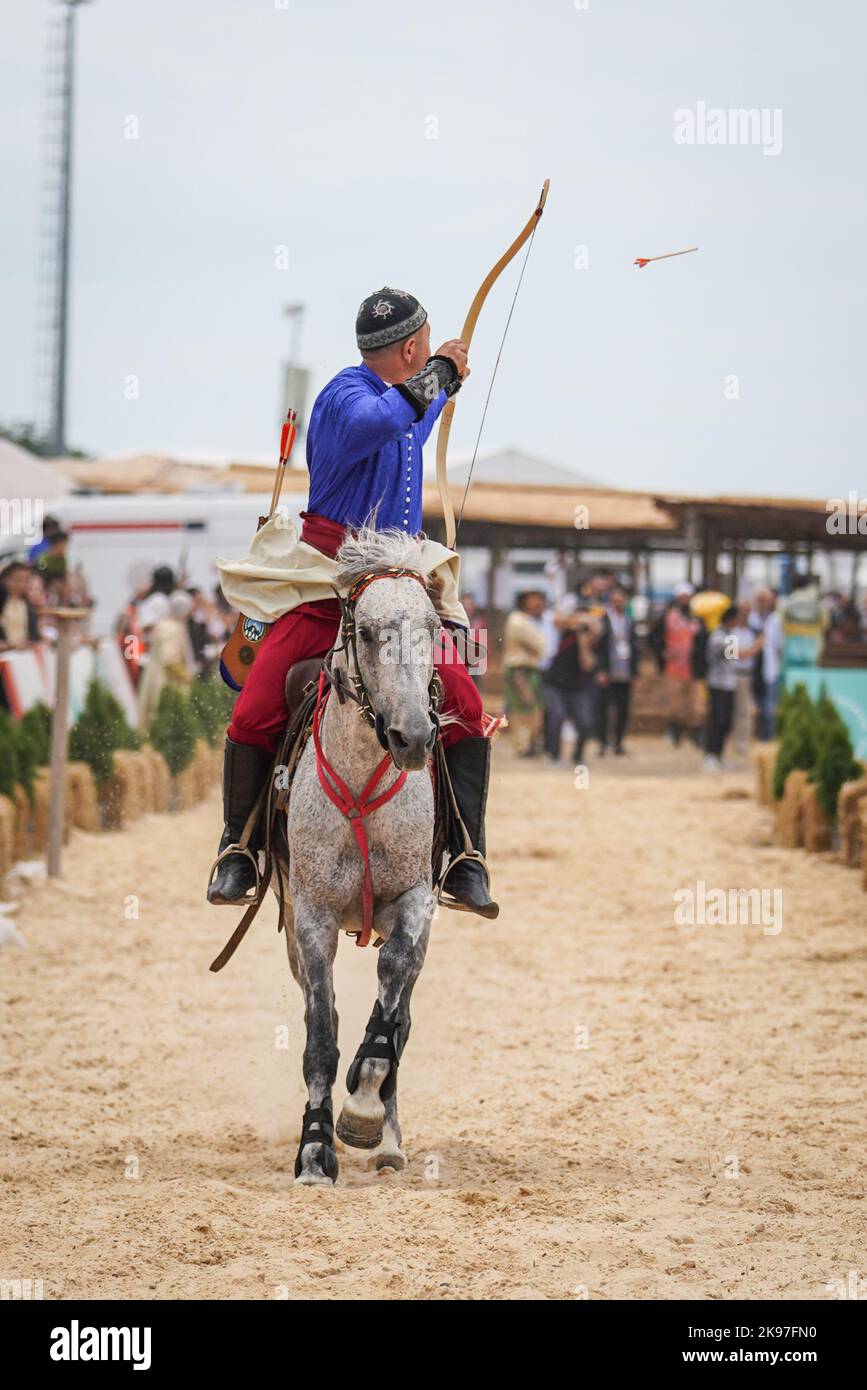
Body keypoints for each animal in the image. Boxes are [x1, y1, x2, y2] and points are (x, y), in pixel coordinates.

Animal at [279, 526, 445, 1185]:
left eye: (434, 627)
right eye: (369, 632)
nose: (414, 738)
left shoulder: (415, 903)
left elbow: (390, 1007)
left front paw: (366, 1110)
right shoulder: (313, 918)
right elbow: (320, 1038)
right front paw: (315, 1150)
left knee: (401, 1021)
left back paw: (390, 1141)